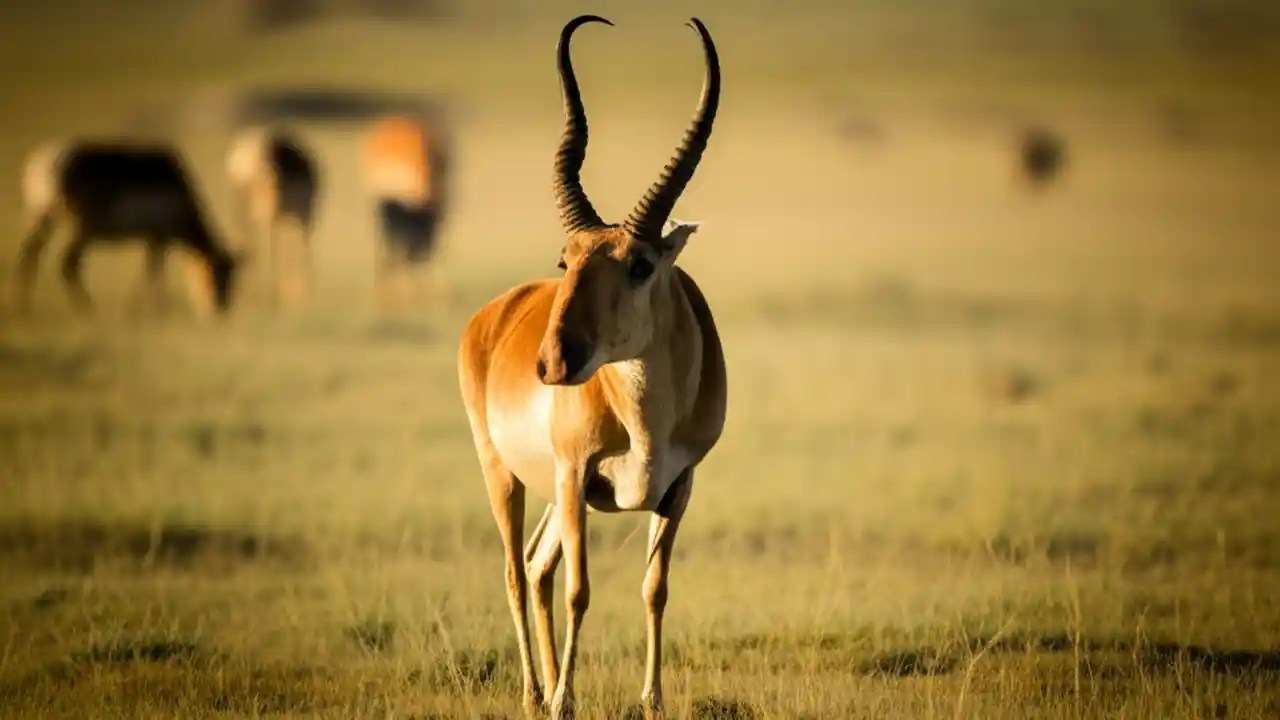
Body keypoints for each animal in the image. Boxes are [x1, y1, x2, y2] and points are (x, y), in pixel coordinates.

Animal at [15, 142, 239, 314]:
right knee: (67, 262)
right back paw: (88, 309)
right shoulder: (159, 238)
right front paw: (150, 309)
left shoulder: (154, 240)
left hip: (45, 218)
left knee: (30, 252)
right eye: (218, 274)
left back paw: (25, 308)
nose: (220, 310)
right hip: (83, 227)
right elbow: (153, 273)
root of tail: (44, 164)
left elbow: (153, 271)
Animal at [457, 16, 724, 719]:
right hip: (508, 475)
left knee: (537, 564)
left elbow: (655, 587)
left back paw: (552, 687)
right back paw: (536, 694)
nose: (554, 361)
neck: (647, 419)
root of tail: (493, 314)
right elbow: (581, 590)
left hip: (553, 490)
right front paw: (560, 702)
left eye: (640, 264)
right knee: (517, 570)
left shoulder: (679, 486)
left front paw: (652, 701)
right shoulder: (577, 473)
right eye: (566, 259)